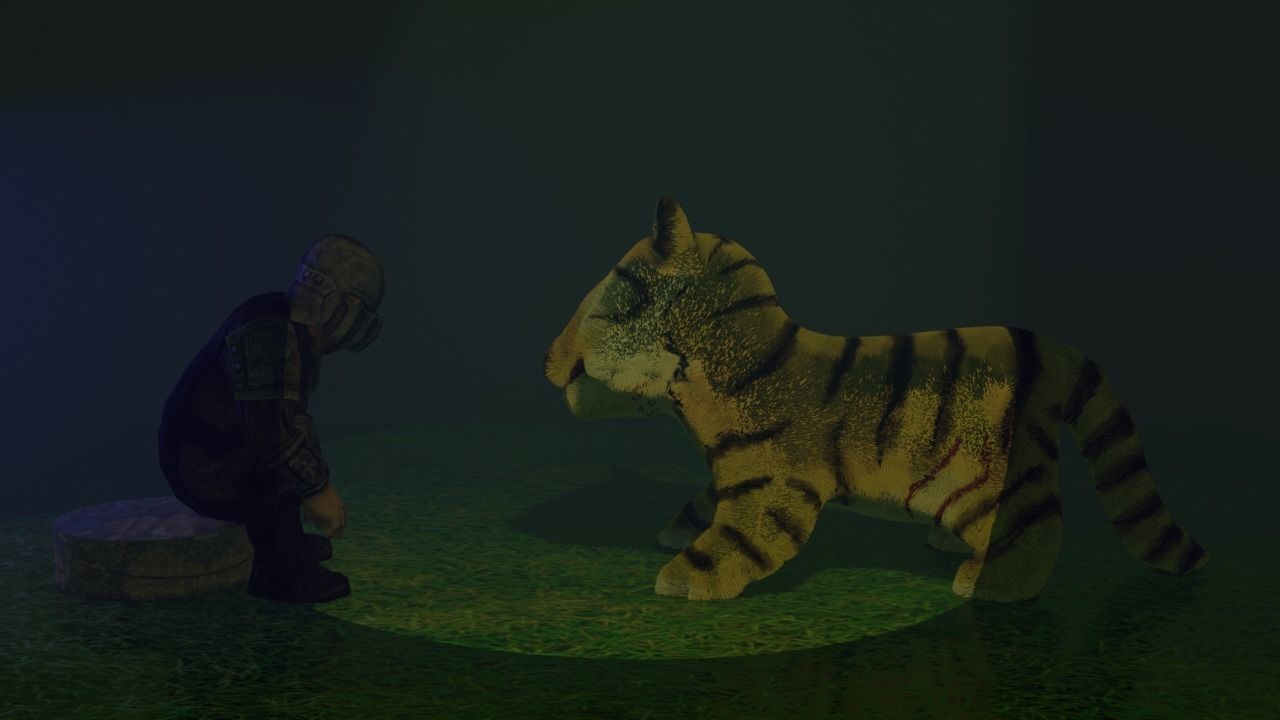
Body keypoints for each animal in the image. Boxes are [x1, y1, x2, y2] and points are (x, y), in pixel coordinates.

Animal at [543, 197, 1209, 602]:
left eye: (599, 299)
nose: (547, 358)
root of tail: (1050, 347)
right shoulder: (736, 470)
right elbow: (707, 498)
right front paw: (677, 528)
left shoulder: (774, 485)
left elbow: (742, 536)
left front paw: (685, 577)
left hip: (994, 473)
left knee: (1038, 522)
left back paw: (988, 581)